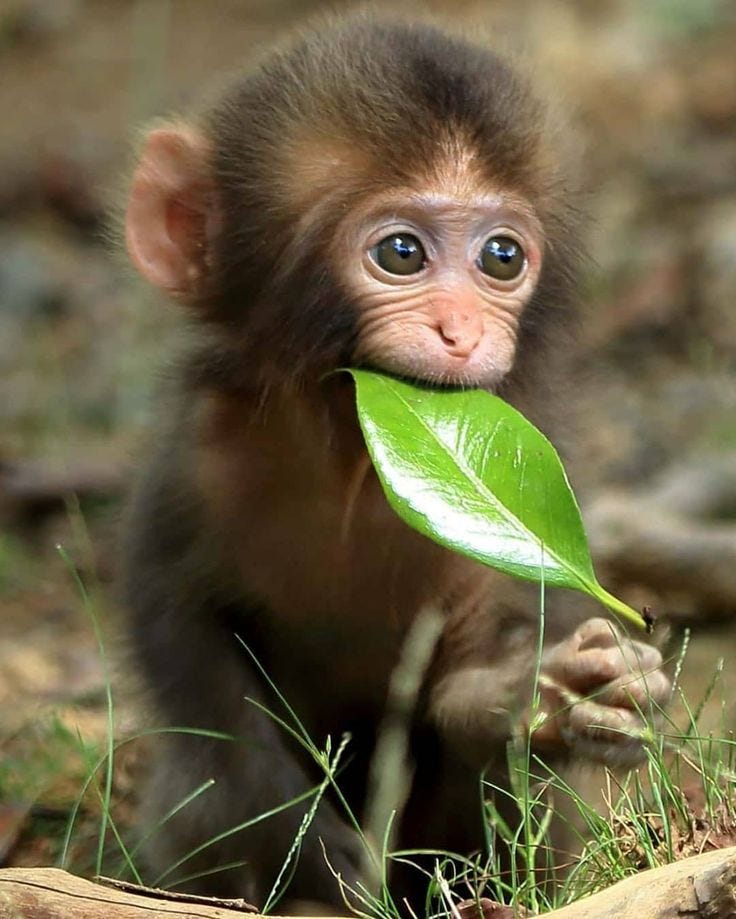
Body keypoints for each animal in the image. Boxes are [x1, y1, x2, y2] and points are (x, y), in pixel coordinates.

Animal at [121, 12, 670, 911]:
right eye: (403, 253)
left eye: (502, 258)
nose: (462, 331)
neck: (355, 446)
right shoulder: (194, 463)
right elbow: (198, 681)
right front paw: (315, 853)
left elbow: (468, 692)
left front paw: (550, 696)